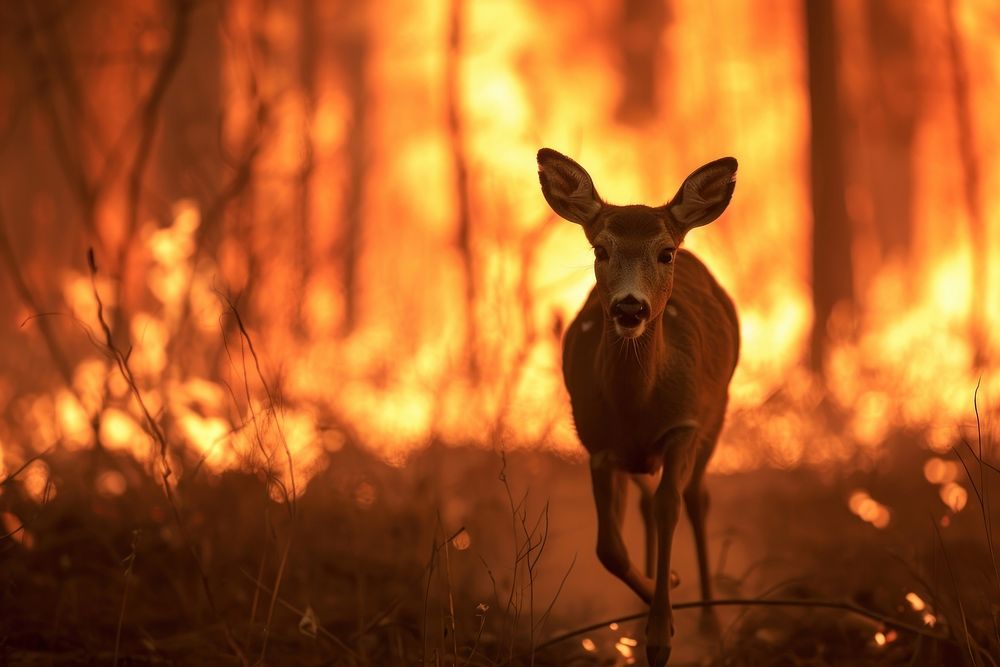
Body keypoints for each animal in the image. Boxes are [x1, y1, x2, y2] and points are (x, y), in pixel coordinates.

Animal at [537, 148, 739, 666]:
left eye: (664, 253)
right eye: (599, 251)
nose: (631, 309)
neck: (637, 406)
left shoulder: (684, 424)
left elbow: (671, 506)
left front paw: (662, 633)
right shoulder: (597, 444)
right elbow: (609, 548)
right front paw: (656, 595)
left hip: (717, 411)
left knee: (696, 498)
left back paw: (710, 621)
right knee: (647, 505)